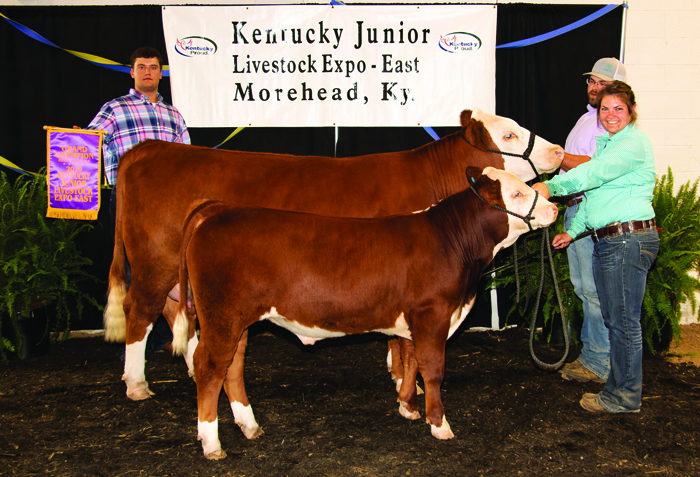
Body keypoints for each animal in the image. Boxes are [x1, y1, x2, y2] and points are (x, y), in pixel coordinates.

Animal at [105, 108, 564, 401]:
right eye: (508, 134)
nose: (559, 150)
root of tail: (149, 148)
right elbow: (405, 344)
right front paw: (407, 381)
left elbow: (398, 340)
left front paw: (398, 377)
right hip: (153, 265)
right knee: (139, 312)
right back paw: (136, 384)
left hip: (176, 275)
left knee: (176, 314)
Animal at [172, 166, 558, 459]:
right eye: (518, 194)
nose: (554, 208)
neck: (454, 247)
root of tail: (218, 209)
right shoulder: (433, 314)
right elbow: (433, 370)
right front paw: (439, 424)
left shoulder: (413, 320)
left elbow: (411, 361)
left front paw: (408, 406)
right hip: (221, 316)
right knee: (208, 367)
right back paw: (211, 443)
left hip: (237, 320)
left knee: (233, 366)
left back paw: (249, 426)